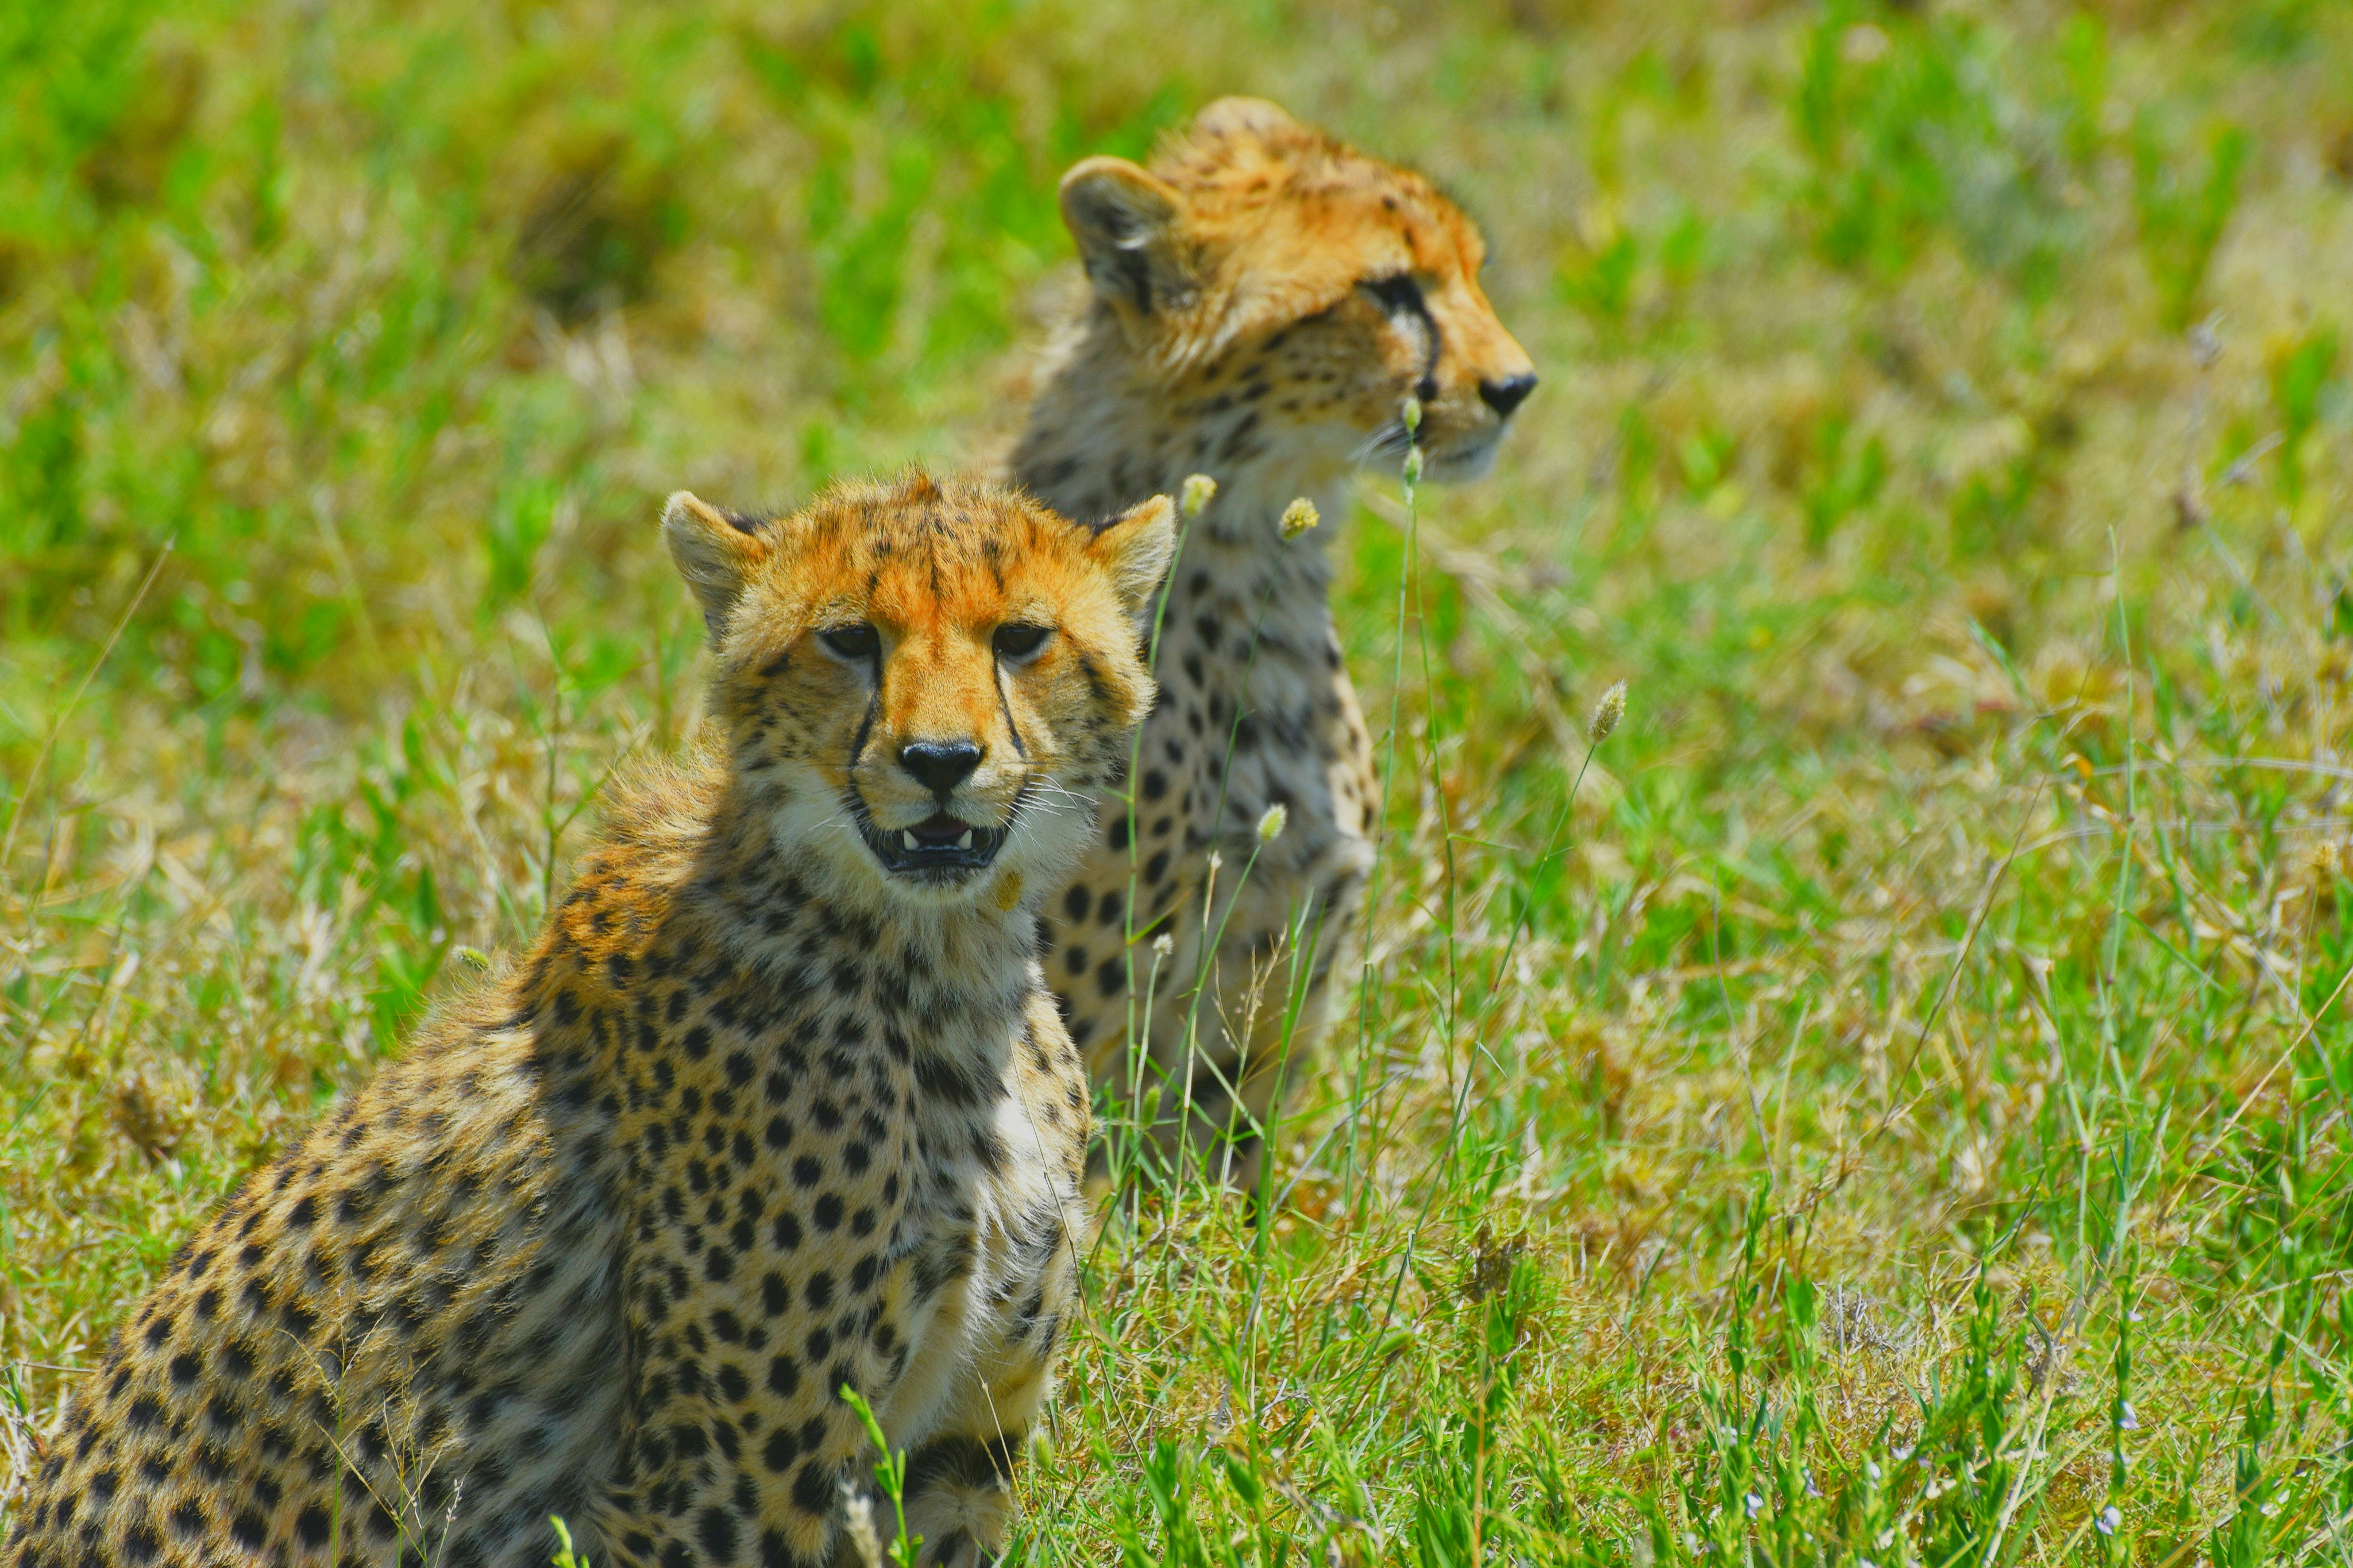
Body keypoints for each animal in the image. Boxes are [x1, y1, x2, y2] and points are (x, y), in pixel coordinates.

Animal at [1, 473, 1176, 1568]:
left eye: (1022, 639)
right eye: (850, 640)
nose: (940, 762)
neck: (940, 963)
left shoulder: (956, 1449)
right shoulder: (725, 1484)